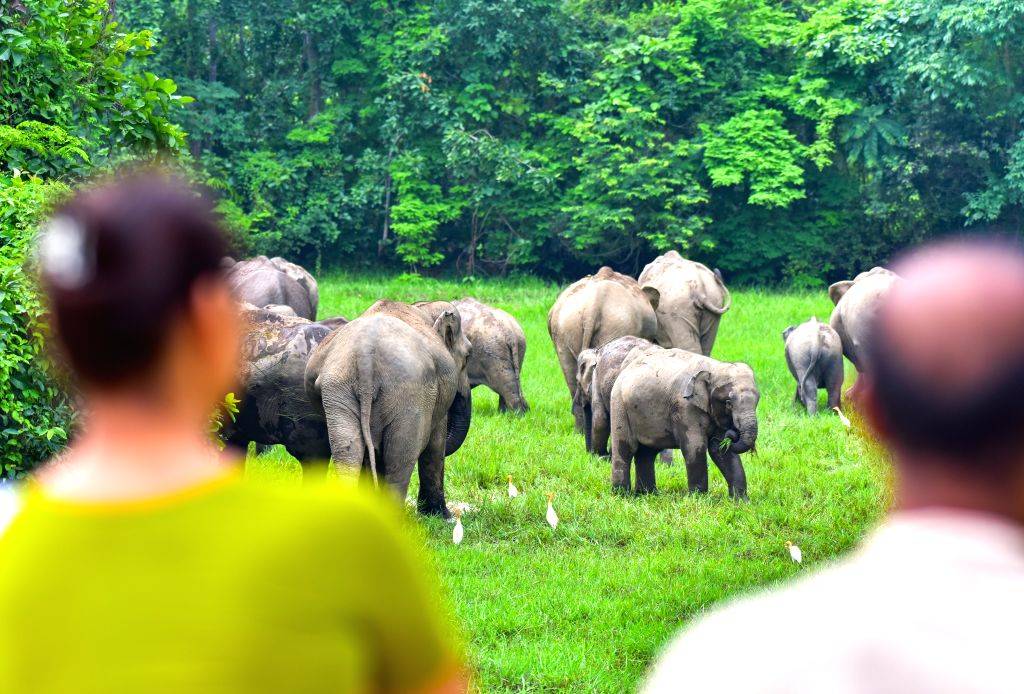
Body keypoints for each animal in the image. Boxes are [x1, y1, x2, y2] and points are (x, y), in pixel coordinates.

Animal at [303, 300, 472, 517]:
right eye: (468, 356)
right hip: (409, 393)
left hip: (337, 387)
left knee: (348, 450)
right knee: (401, 457)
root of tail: (365, 354)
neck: (421, 308)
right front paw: (442, 517)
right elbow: (435, 443)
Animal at [610, 348, 759, 499]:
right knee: (626, 449)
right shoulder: (685, 407)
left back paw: (647, 494)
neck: (714, 367)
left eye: (758, 400)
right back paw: (622, 495)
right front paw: (699, 498)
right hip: (619, 404)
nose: (733, 432)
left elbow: (720, 450)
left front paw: (740, 501)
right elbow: (695, 447)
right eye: (729, 403)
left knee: (647, 453)